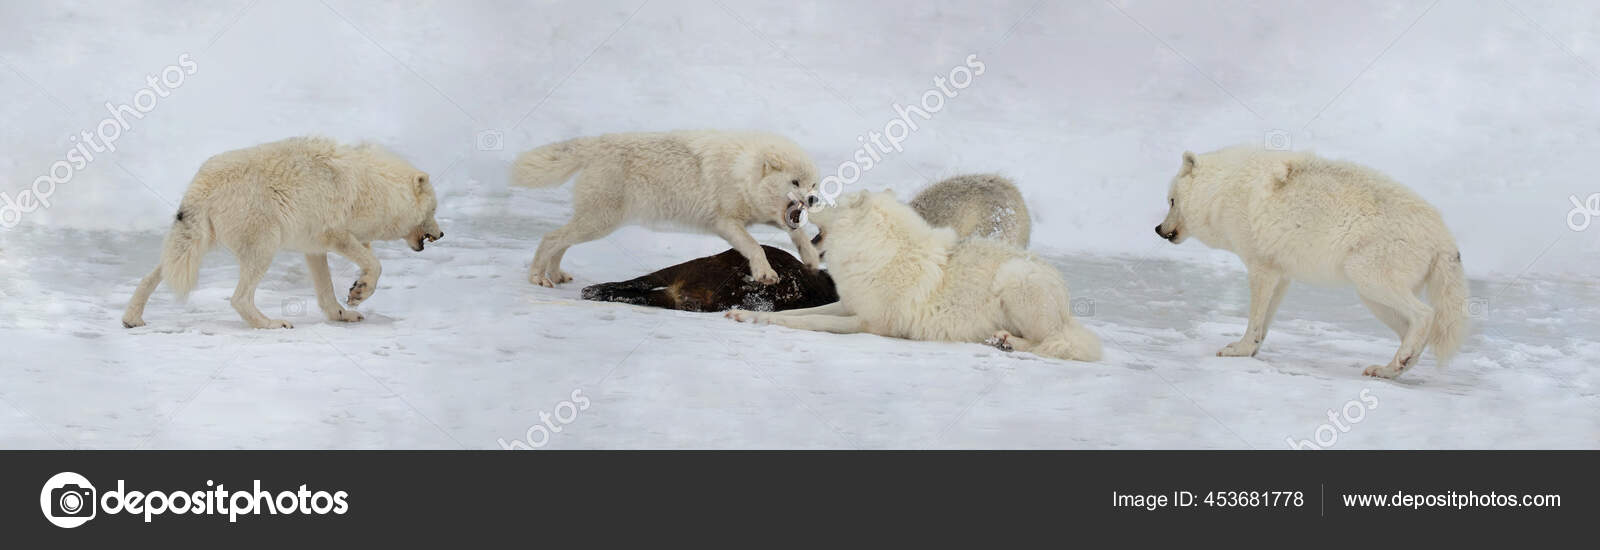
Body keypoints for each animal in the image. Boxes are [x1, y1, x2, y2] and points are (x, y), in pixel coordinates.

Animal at [121, 136, 442, 329]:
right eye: (433, 210)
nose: (441, 235)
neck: (375, 188)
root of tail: (200, 184)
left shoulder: (314, 249)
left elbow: (326, 291)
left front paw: (343, 313)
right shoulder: (334, 236)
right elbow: (375, 265)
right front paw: (359, 292)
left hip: (196, 246)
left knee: (151, 276)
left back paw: (132, 318)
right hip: (265, 248)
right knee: (239, 298)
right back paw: (271, 324)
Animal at [510, 130, 821, 287]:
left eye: (813, 184)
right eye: (795, 182)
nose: (814, 200)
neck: (742, 170)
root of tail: (597, 144)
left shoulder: (762, 217)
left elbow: (798, 233)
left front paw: (810, 259)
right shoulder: (726, 223)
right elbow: (756, 247)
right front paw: (766, 274)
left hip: (594, 224)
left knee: (560, 241)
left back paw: (555, 275)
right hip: (599, 224)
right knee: (550, 238)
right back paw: (537, 277)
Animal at [726, 190, 1101, 362]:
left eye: (834, 203)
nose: (810, 197)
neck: (878, 253)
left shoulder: (867, 323)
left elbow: (809, 322)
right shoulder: (847, 305)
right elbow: (796, 313)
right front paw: (745, 314)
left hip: (1016, 278)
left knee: (1051, 344)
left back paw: (1006, 341)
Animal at [1155, 145, 1468, 379]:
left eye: (1171, 201)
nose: (1158, 229)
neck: (1222, 190)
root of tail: (1445, 238)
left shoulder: (1261, 269)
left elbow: (1254, 320)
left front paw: (1239, 350)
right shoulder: (1281, 276)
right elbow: (1263, 326)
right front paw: (1251, 351)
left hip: (1368, 282)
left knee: (1426, 315)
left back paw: (1399, 360)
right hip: (1372, 299)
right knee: (1414, 333)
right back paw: (1392, 367)